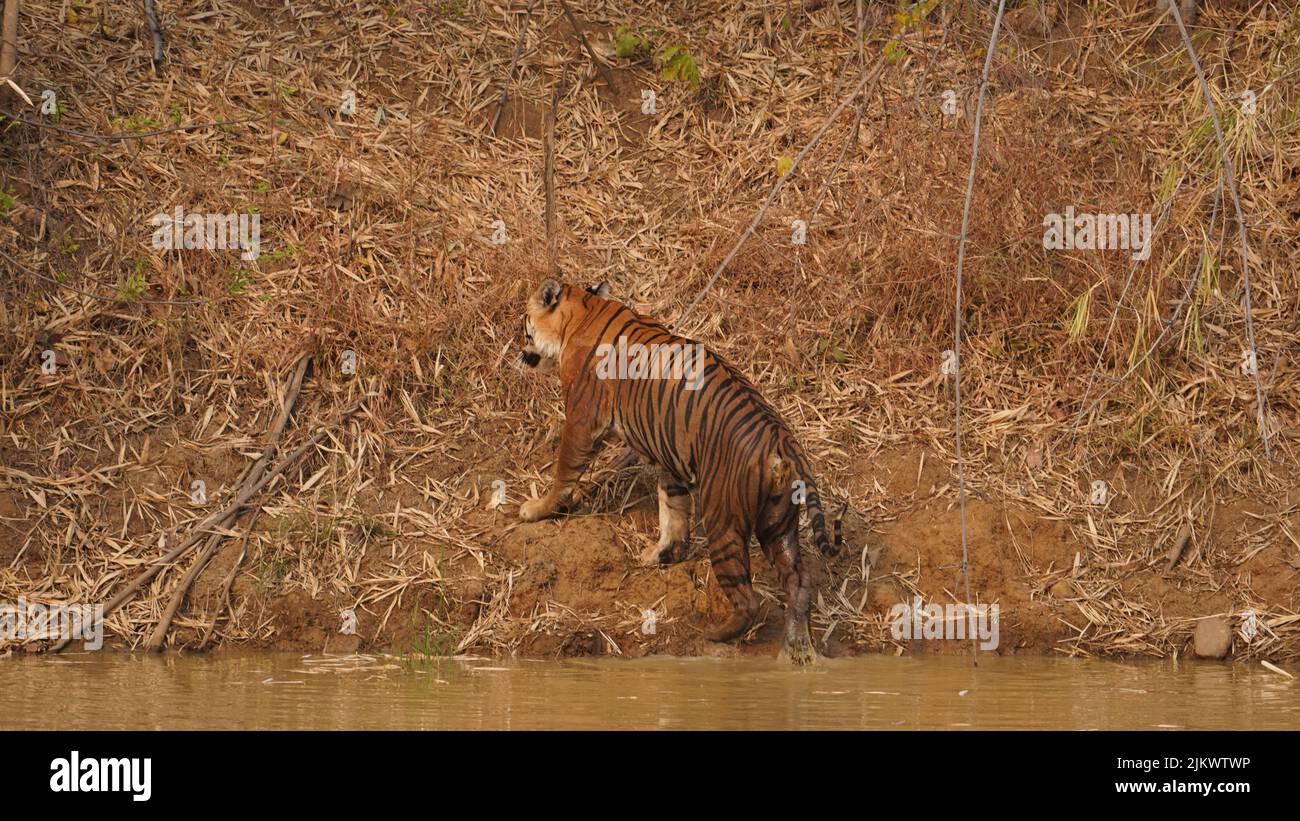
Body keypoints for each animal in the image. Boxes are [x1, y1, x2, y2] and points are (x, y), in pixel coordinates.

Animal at [517, 278, 842, 664]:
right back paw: (798, 646)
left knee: (748, 598)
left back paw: (717, 635)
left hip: (723, 520)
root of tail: (781, 438)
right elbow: (671, 509)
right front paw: (662, 553)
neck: (582, 312)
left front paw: (538, 509)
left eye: (524, 324)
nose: (520, 353)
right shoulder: (671, 456)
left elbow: (564, 471)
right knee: (798, 582)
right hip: (779, 525)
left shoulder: (582, 420)